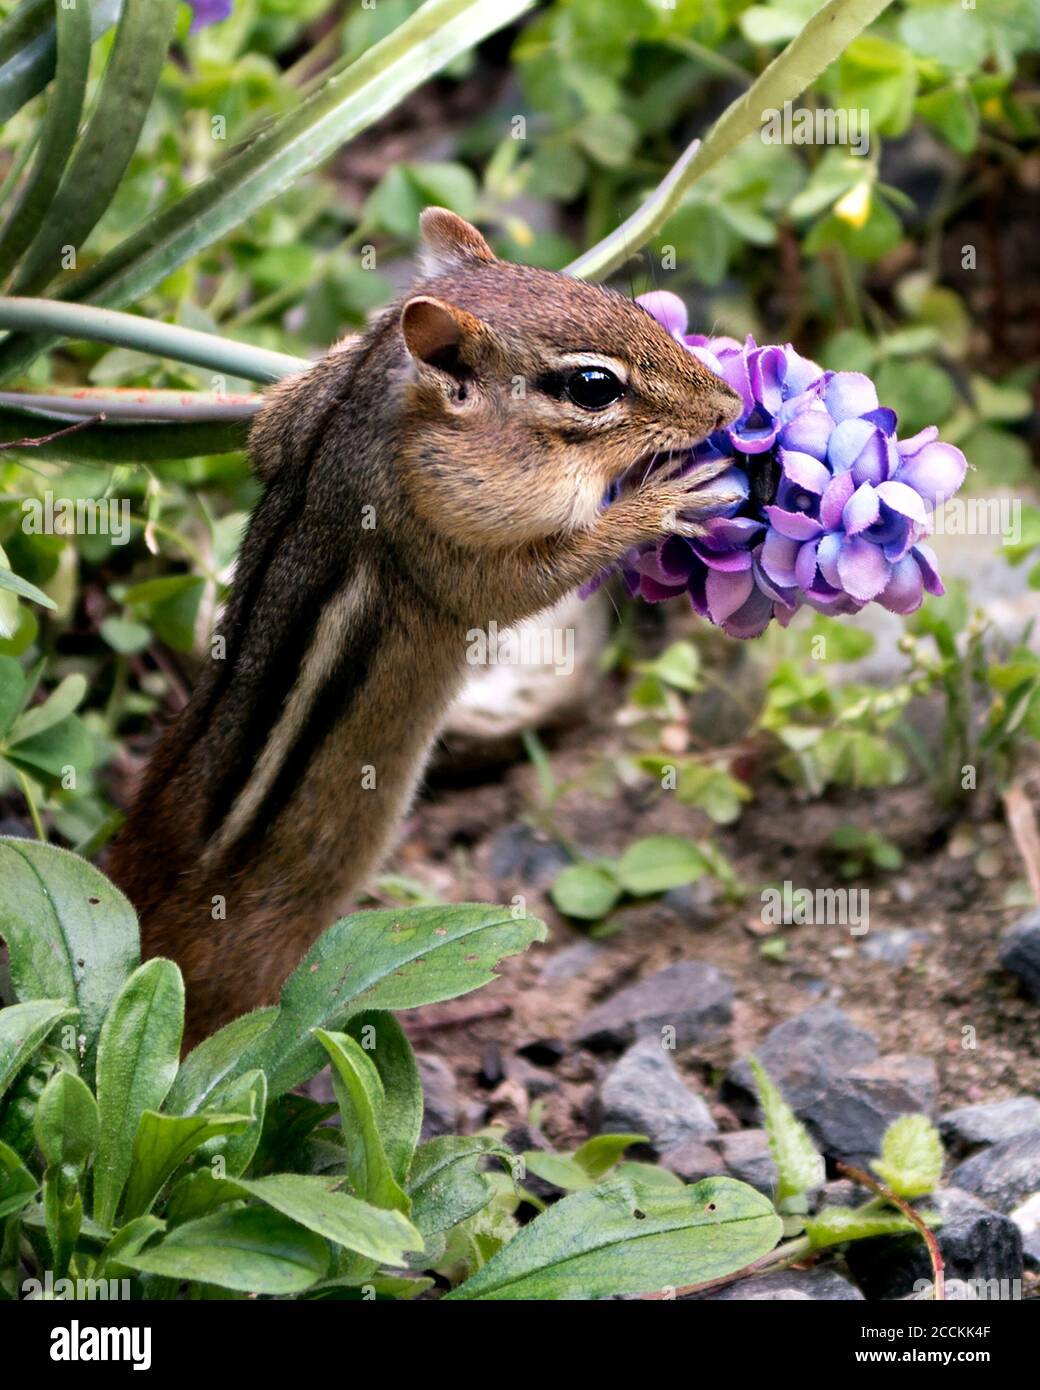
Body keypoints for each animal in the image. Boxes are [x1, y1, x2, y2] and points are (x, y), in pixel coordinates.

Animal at [106, 209, 742, 1046]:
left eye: (631, 305)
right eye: (593, 386)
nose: (730, 406)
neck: (365, 433)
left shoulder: (291, 422)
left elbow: (266, 427)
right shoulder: (440, 534)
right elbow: (520, 583)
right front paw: (662, 501)